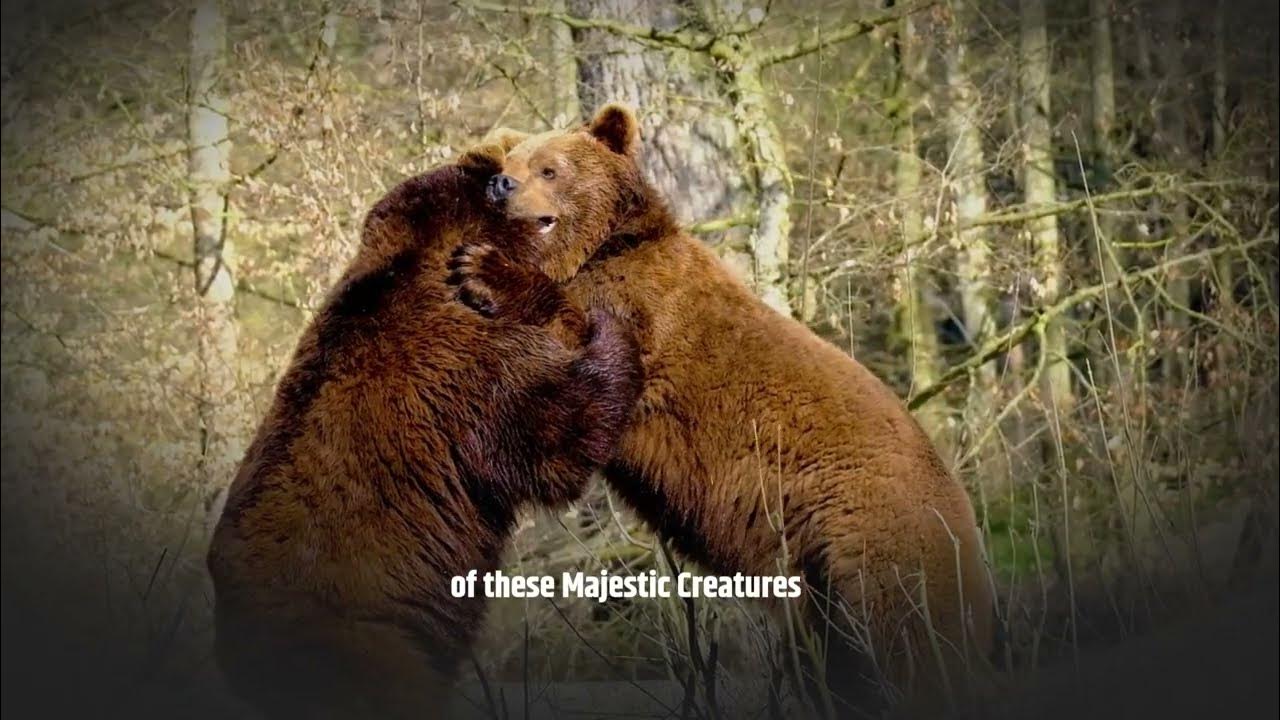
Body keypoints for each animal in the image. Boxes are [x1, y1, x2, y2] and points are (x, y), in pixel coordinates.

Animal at [484, 105, 994, 714]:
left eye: (549, 168)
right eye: (510, 161)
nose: (500, 185)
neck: (602, 250)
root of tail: (966, 521)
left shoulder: (637, 310)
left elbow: (581, 344)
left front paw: (482, 271)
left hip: (871, 541)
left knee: (906, 646)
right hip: (820, 590)